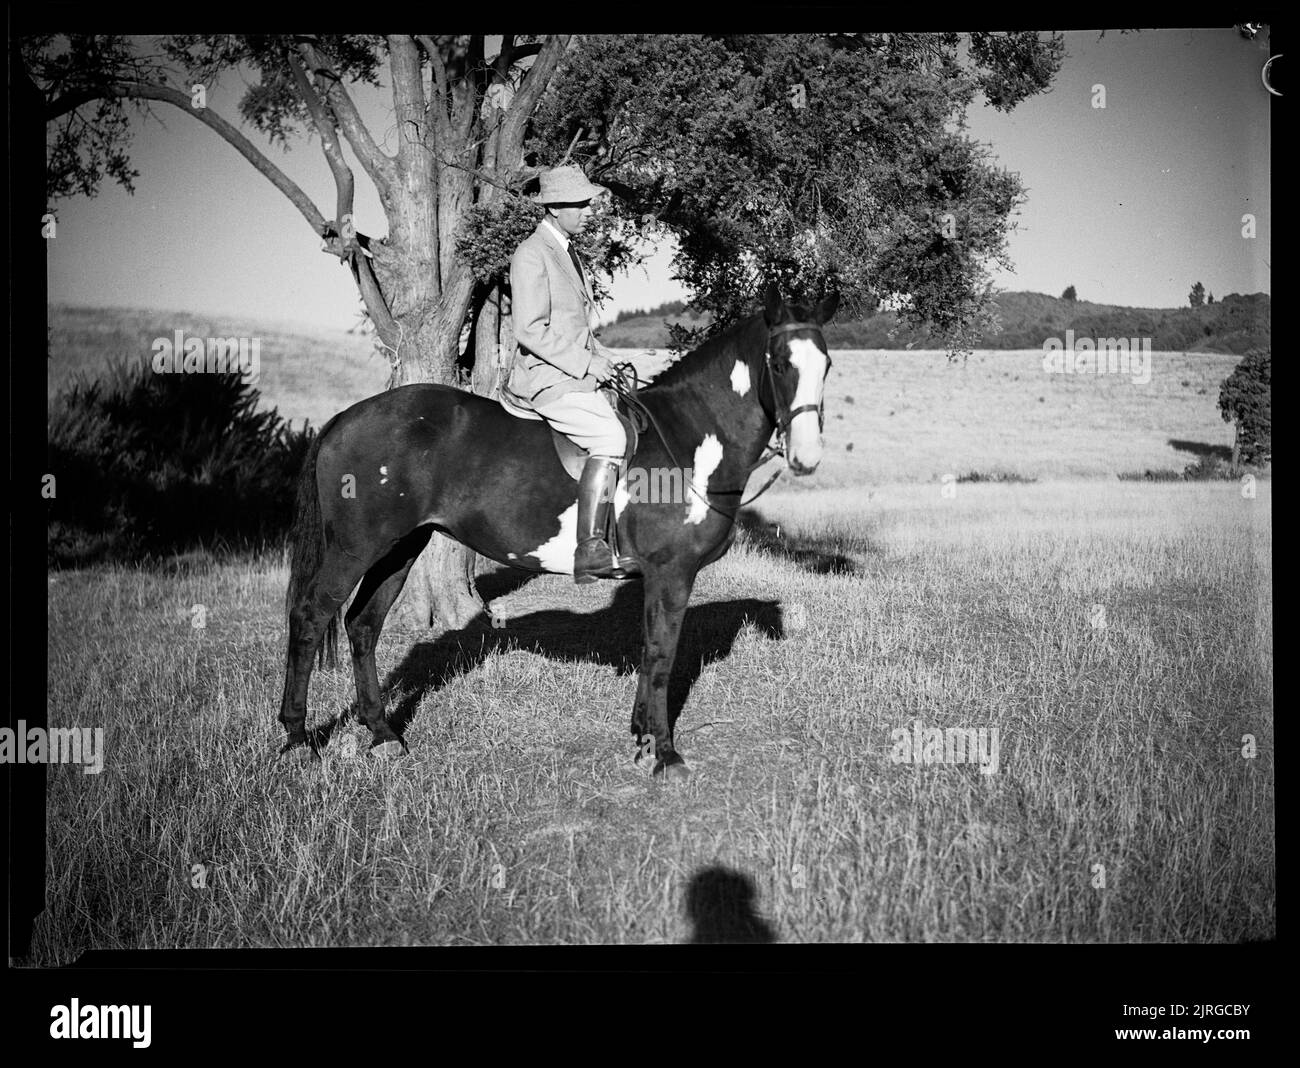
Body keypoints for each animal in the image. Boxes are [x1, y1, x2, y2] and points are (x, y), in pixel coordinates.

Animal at [278, 283, 837, 779]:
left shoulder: (658, 579)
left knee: (363, 625)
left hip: (400, 548)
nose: (807, 458)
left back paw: (383, 735)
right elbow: (662, 656)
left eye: (826, 365)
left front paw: (642, 740)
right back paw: (298, 740)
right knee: (310, 617)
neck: (689, 440)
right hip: (355, 549)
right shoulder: (671, 573)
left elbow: (649, 649)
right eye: (780, 364)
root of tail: (346, 418)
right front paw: (664, 755)